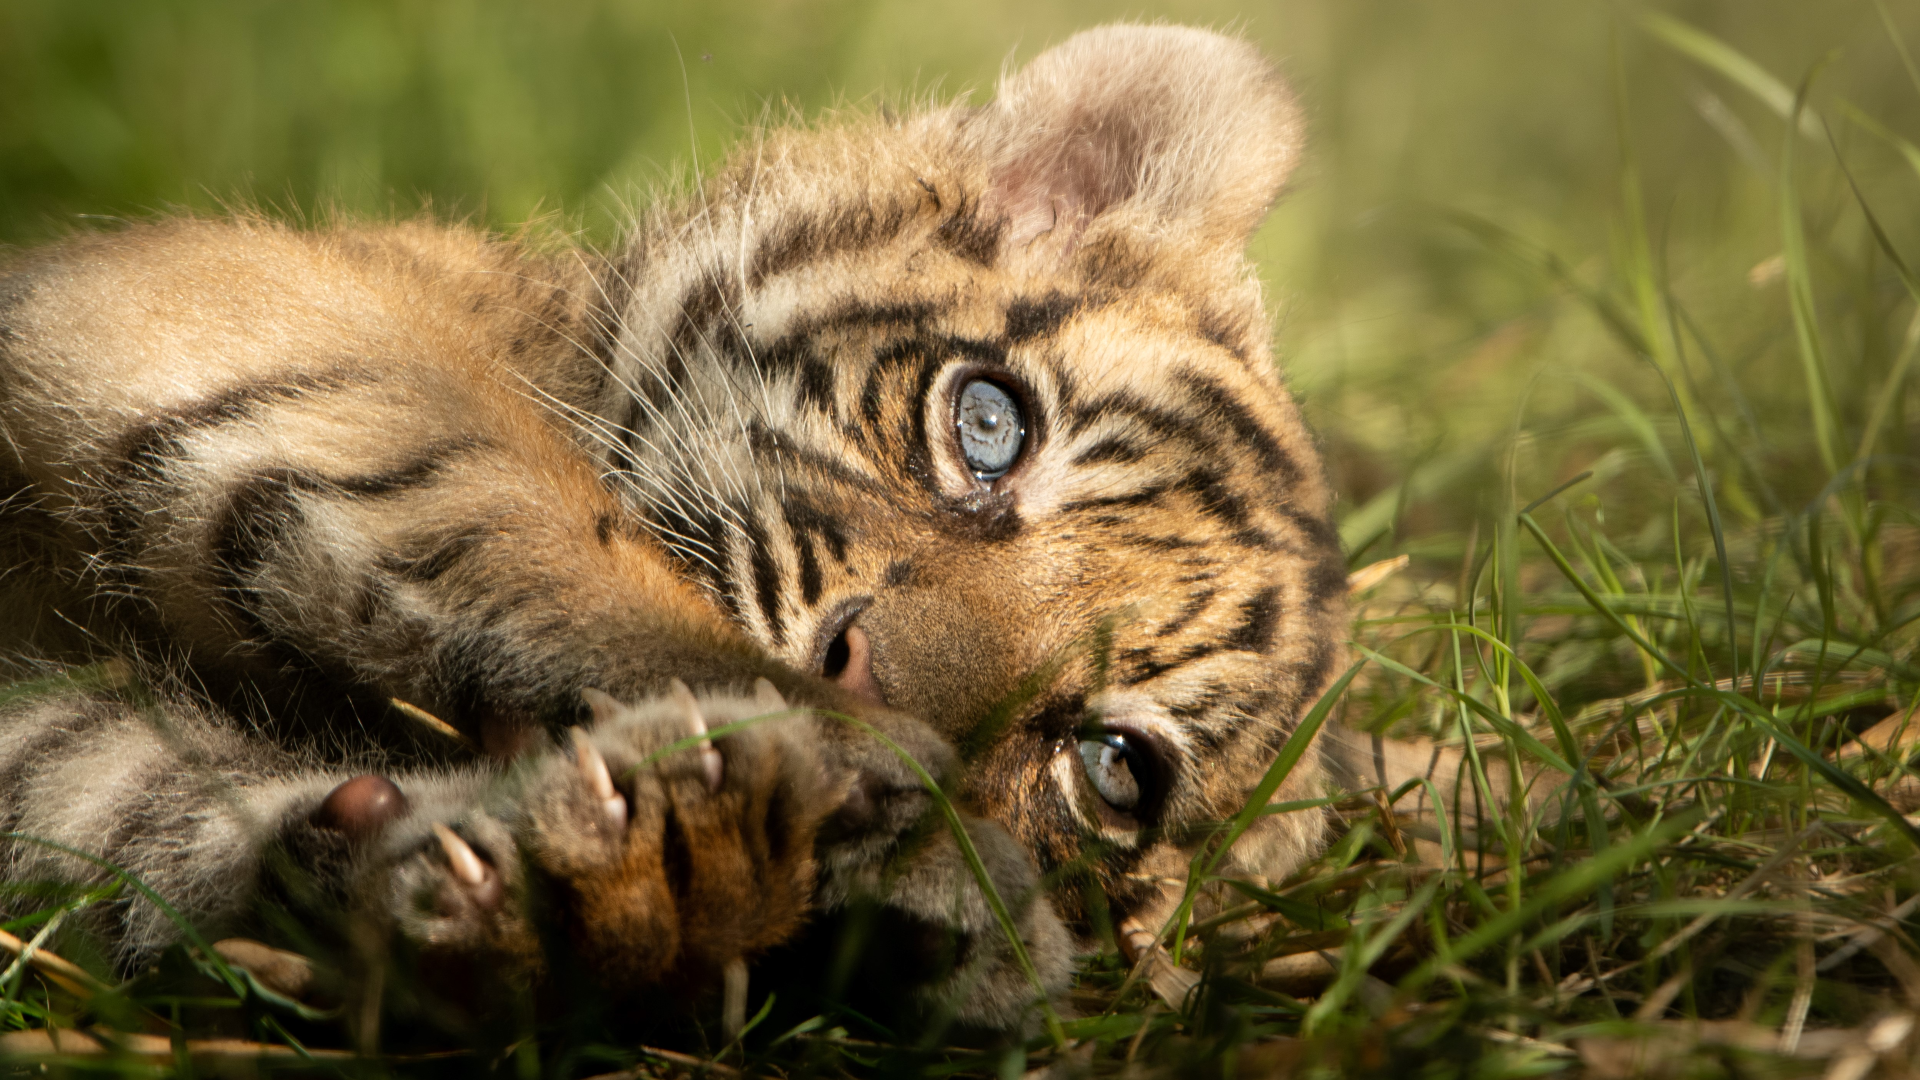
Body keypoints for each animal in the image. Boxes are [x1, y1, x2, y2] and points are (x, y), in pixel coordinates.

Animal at [0, 24, 1349, 1043]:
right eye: (988, 424)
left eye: (1113, 767)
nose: (866, 679)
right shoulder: (247, 322)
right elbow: (519, 528)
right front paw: (899, 827)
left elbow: (130, 805)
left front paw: (613, 890)